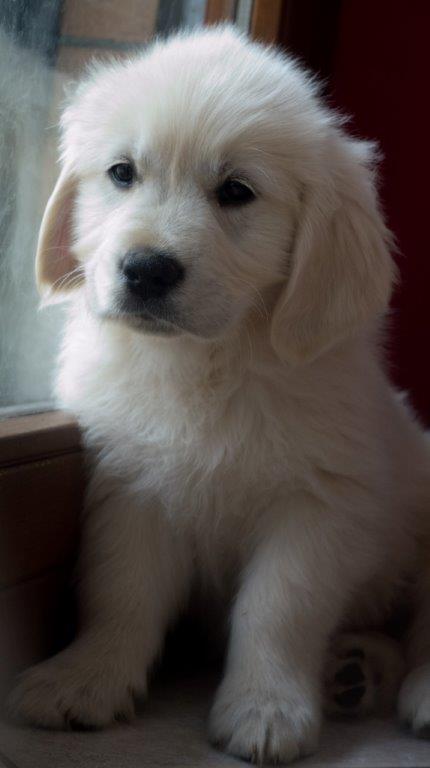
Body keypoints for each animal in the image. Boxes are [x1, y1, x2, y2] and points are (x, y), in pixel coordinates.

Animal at [8, 27, 430, 764]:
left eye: (236, 190)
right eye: (122, 173)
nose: (146, 270)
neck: (208, 363)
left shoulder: (318, 505)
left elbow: (277, 609)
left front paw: (264, 708)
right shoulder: (133, 485)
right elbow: (120, 590)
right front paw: (85, 678)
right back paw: (354, 671)